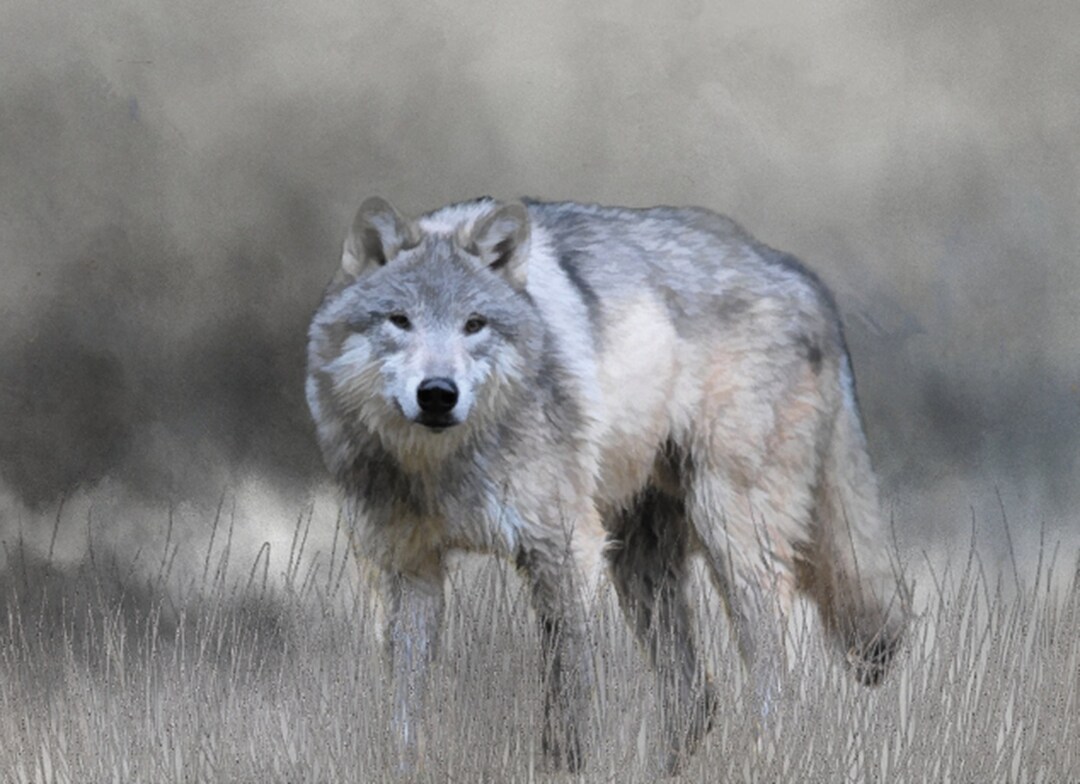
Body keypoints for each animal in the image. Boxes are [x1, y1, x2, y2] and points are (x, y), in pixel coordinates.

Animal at [305, 195, 908, 773]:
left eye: (474, 324)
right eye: (399, 320)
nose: (437, 393)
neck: (441, 467)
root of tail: (796, 272)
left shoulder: (566, 552)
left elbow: (567, 690)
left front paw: (564, 767)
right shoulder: (408, 570)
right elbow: (405, 707)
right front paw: (404, 765)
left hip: (730, 537)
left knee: (774, 677)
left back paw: (765, 758)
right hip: (640, 569)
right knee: (697, 700)